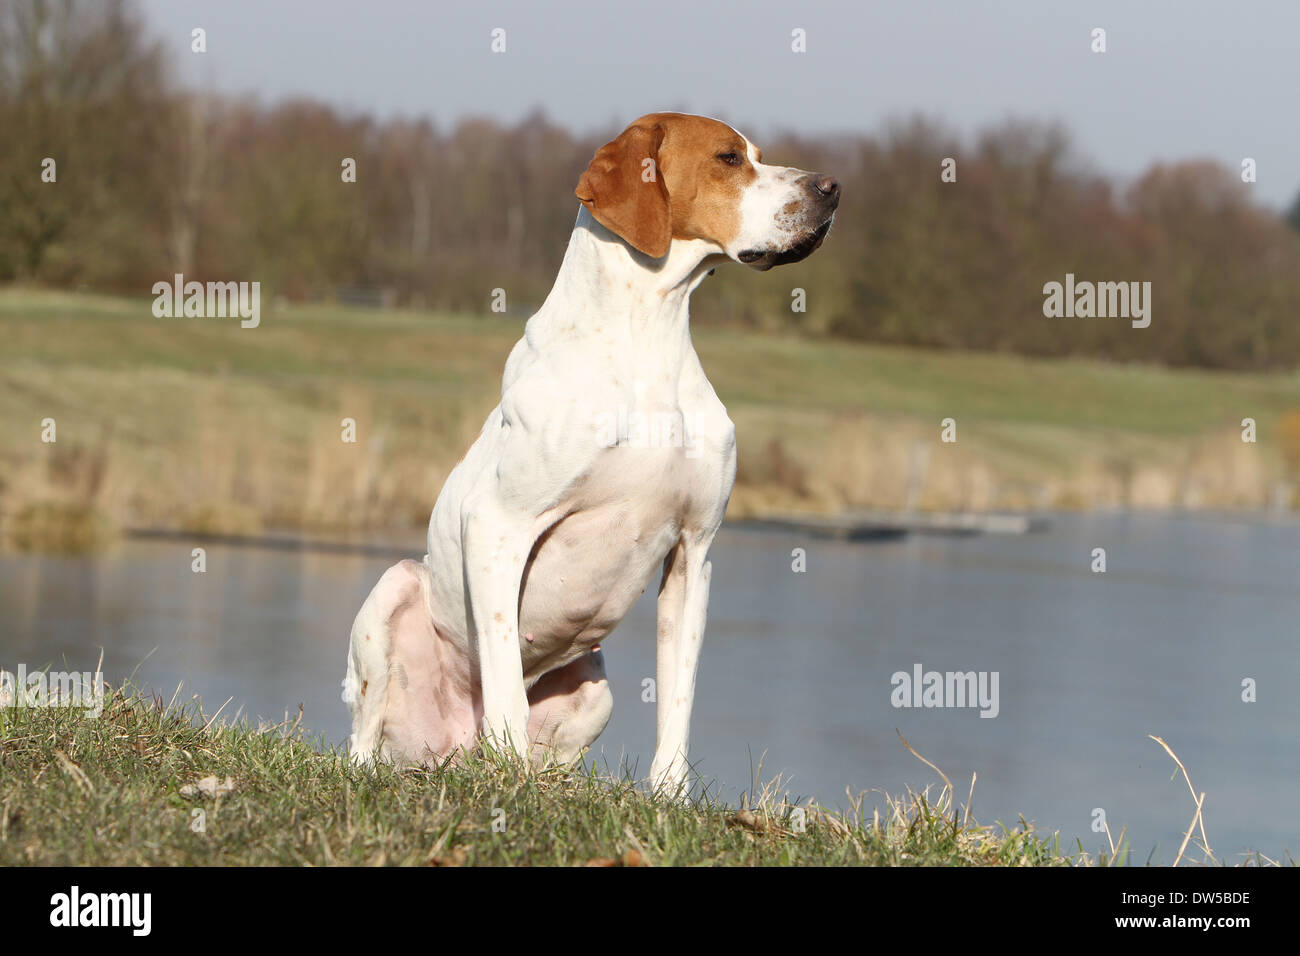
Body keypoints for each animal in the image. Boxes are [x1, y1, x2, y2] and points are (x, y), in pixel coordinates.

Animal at [340, 111, 837, 790]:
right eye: (729, 158)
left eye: (756, 154)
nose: (832, 188)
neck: (649, 335)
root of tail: (448, 753)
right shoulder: (499, 526)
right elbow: (504, 675)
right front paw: (508, 767)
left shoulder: (694, 552)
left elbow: (678, 696)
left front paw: (671, 795)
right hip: (390, 594)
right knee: (362, 736)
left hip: (595, 689)